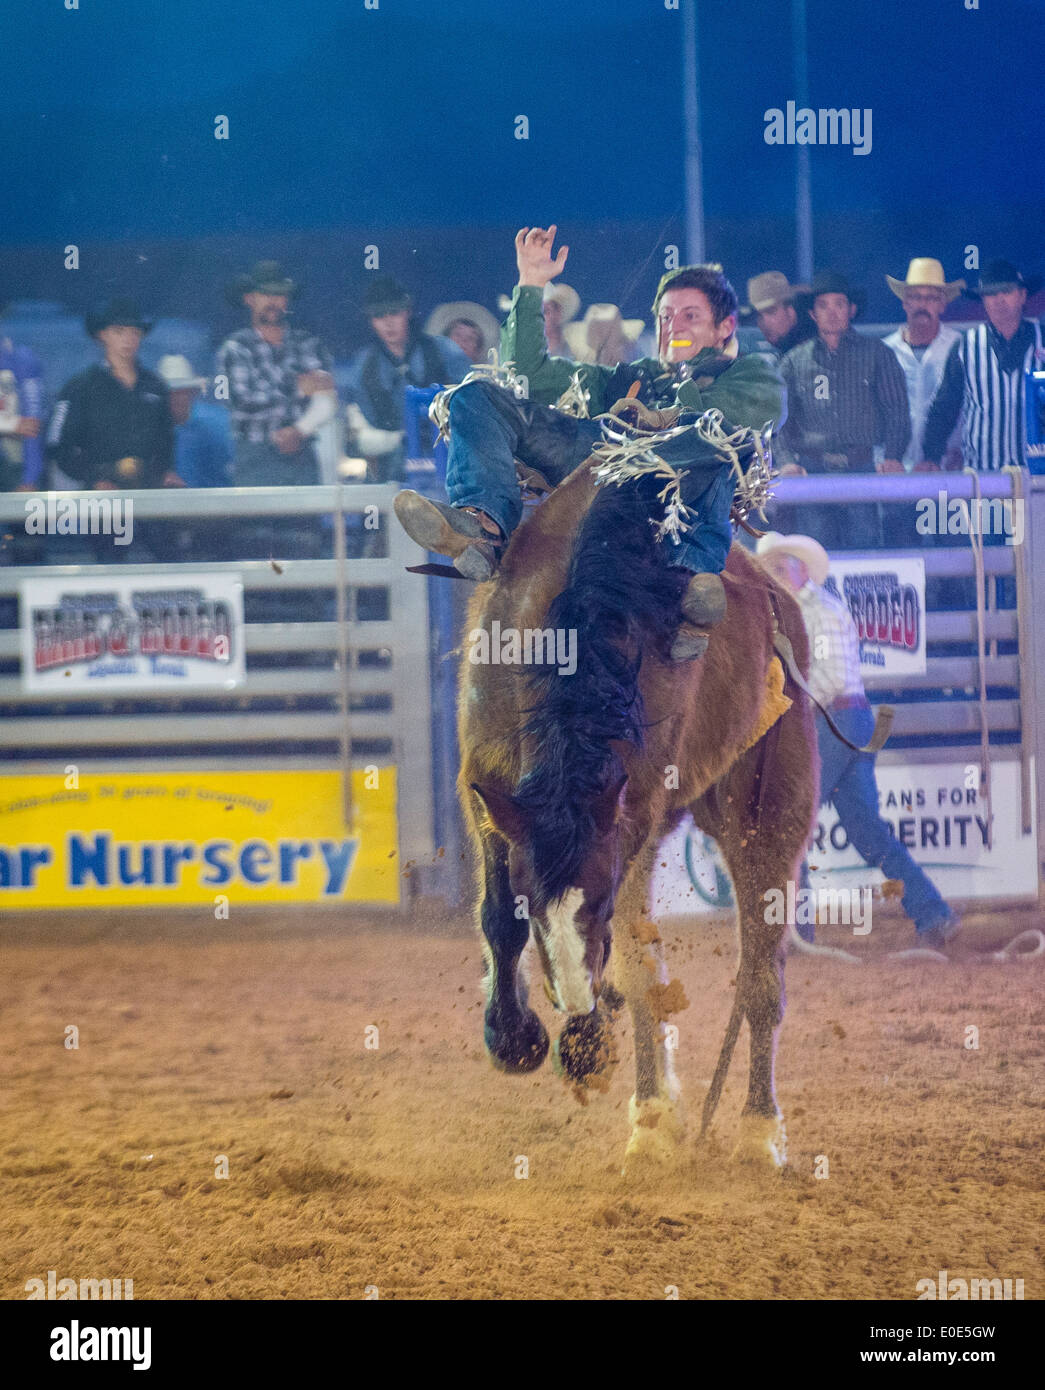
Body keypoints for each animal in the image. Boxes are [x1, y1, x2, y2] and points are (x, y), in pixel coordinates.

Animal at [455, 456, 819, 1175]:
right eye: (532, 902)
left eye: (593, 900)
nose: (568, 998)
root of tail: (775, 593)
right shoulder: (488, 790)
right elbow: (499, 919)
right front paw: (512, 1038)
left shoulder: (632, 818)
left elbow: (616, 952)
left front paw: (584, 1046)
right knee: (654, 976)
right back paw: (655, 1120)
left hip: (769, 808)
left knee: (761, 979)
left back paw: (755, 1130)